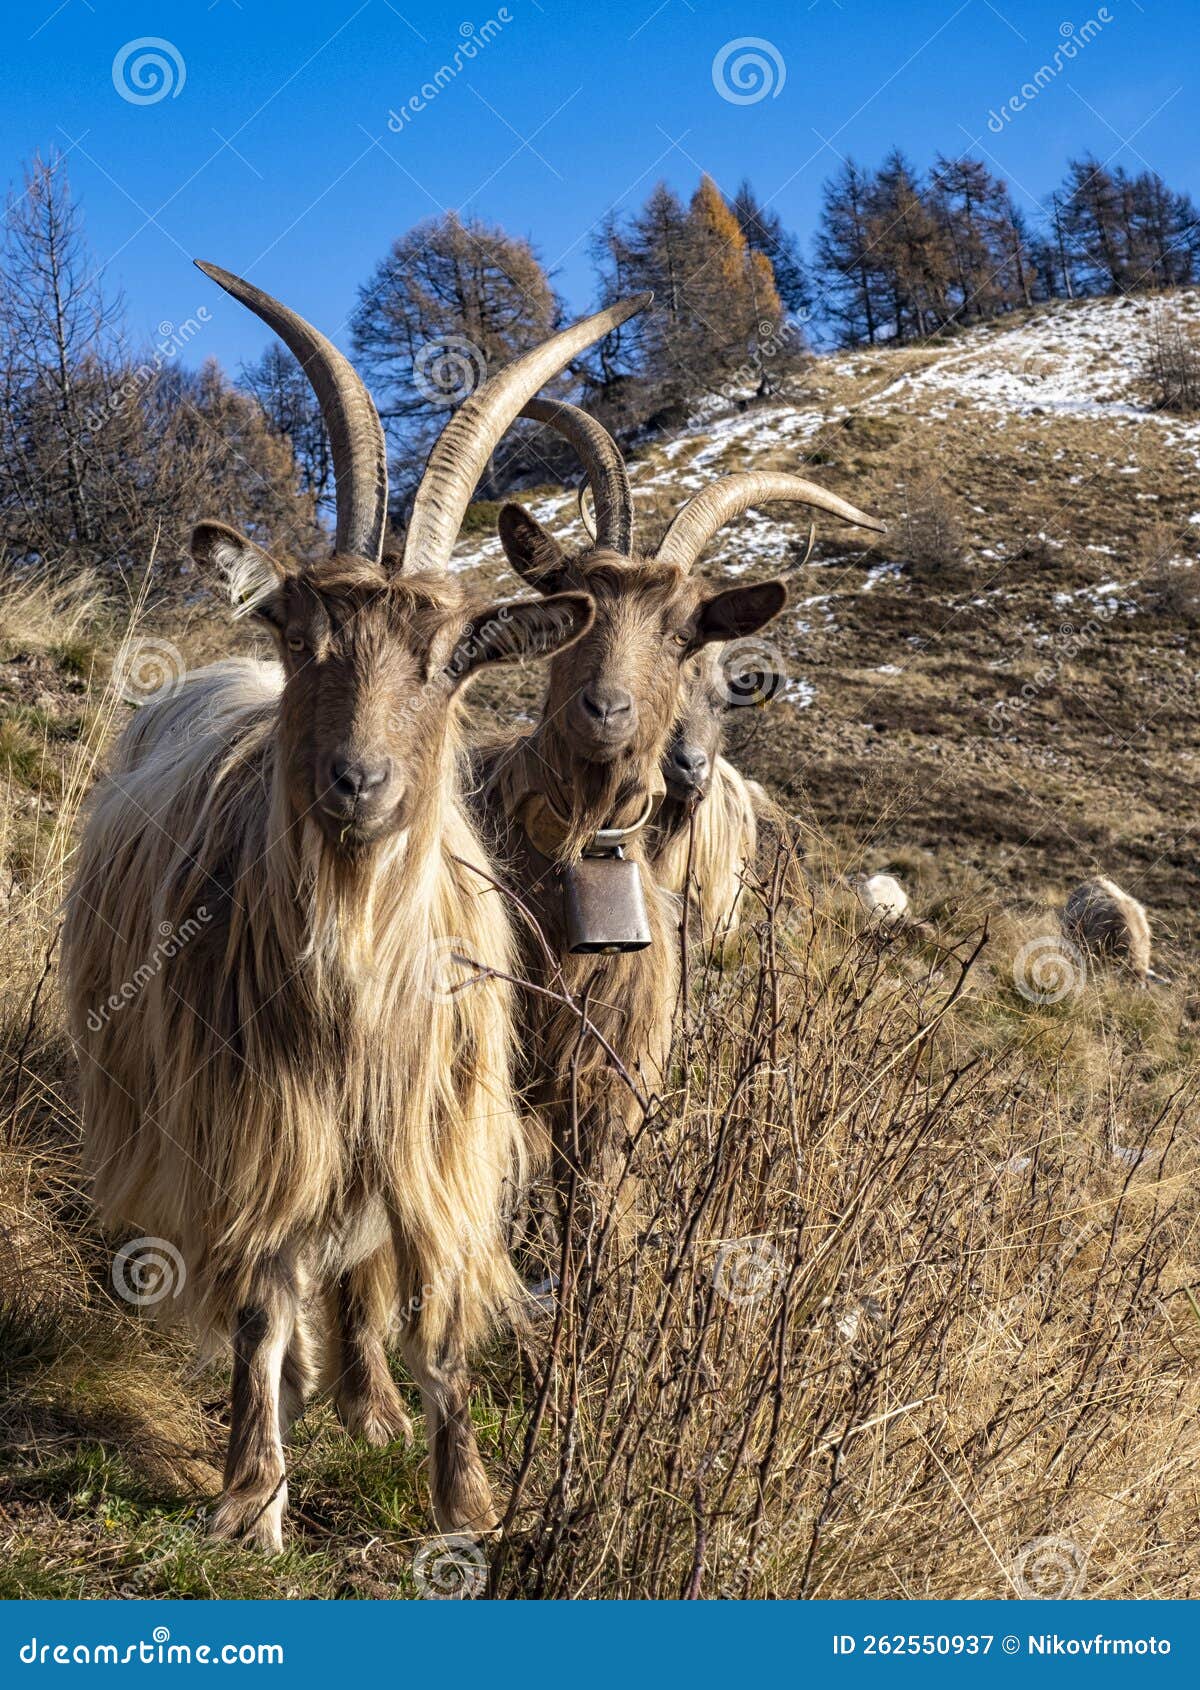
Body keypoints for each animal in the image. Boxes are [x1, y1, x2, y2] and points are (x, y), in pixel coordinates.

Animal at [60, 267, 646, 1547]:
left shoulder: (439, 1132)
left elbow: (435, 1310)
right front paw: (249, 1498)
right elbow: (259, 1301)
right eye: (297, 627)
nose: (357, 783)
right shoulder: (251, 1124)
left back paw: (369, 1404)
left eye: (454, 655)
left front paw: (464, 1498)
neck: (352, 968)